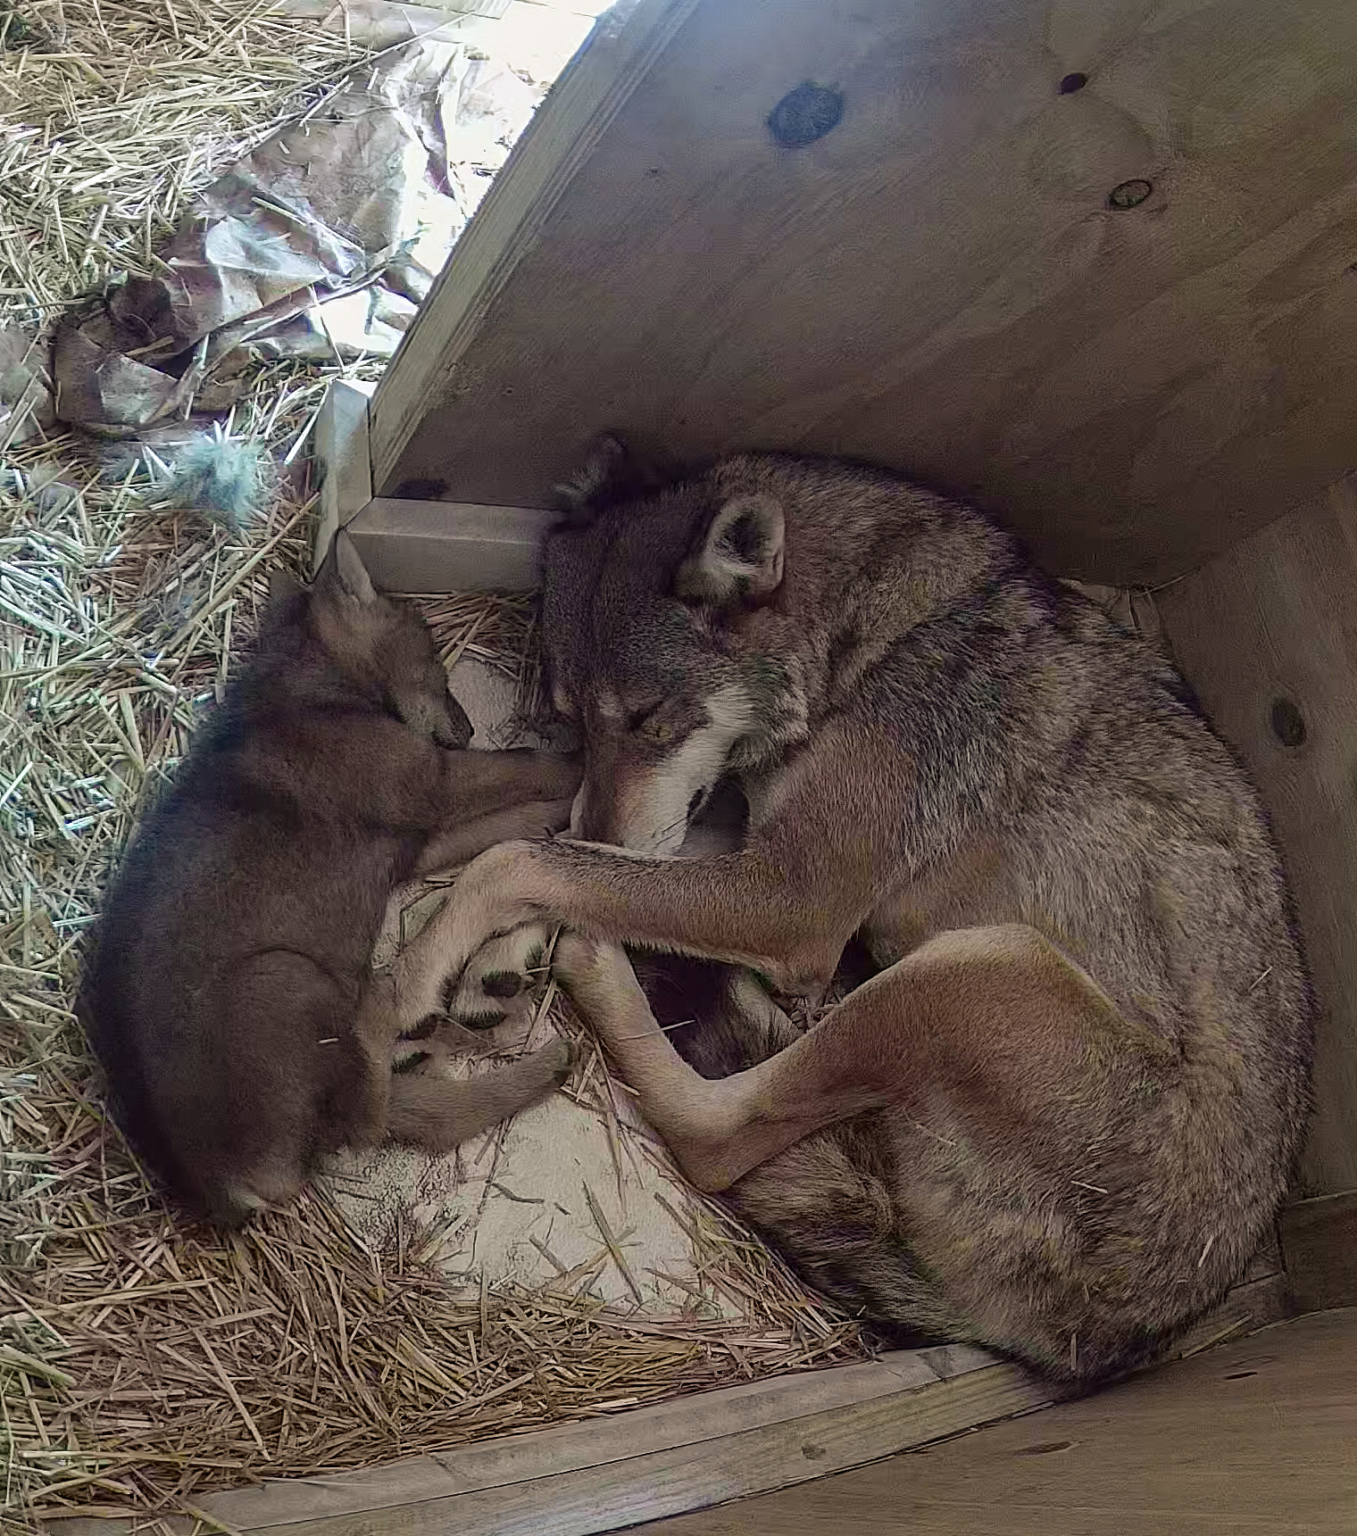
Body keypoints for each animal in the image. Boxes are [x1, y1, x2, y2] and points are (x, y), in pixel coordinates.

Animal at [80, 530, 579, 1227]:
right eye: (431, 650)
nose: (468, 726)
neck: (314, 687)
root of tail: (224, 1187)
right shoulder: (433, 781)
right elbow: (529, 763)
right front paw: (588, 766)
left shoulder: (419, 838)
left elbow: (511, 819)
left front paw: (560, 824)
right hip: (286, 975)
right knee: (376, 1111)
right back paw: (405, 1009)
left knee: (413, 1109)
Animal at [393, 445, 1313, 1382]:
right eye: (570, 722)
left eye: (651, 720)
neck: (868, 647)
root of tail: (1078, 1342)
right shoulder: (750, 849)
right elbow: (572, 854)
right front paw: (502, 953)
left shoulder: (793, 898)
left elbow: (523, 859)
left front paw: (419, 971)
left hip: (979, 965)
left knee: (716, 1135)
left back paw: (603, 966)